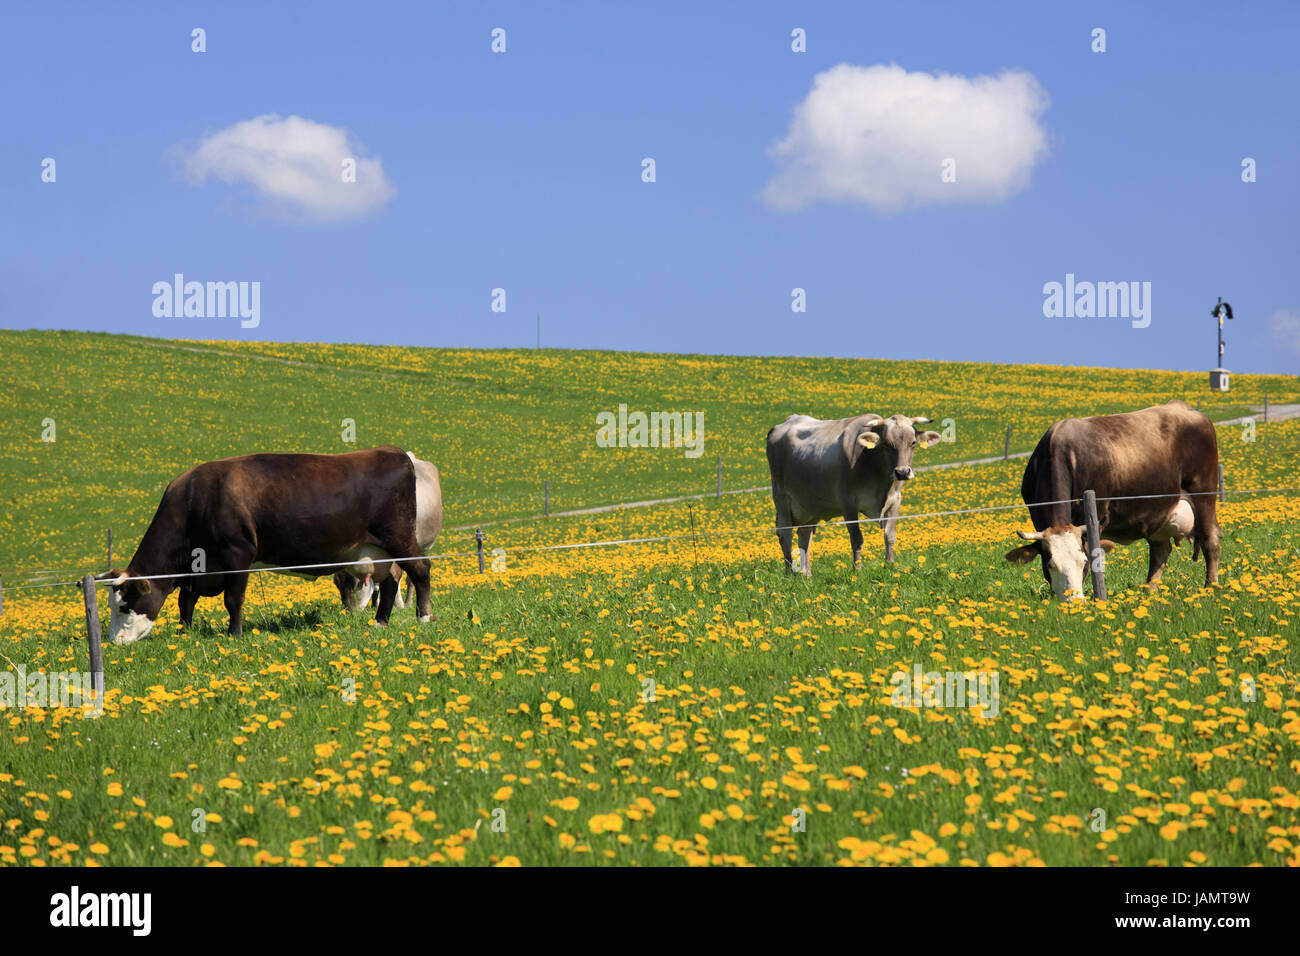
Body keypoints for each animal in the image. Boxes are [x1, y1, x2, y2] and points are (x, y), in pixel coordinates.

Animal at [102, 447, 440, 644]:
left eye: (124, 605)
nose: (114, 641)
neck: (195, 500)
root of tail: (396, 453)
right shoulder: (200, 568)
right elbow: (186, 600)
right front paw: (185, 632)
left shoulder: (237, 553)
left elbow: (233, 599)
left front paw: (234, 634)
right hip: (380, 551)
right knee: (391, 581)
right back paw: (380, 622)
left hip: (399, 537)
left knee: (420, 568)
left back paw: (424, 617)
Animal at [766, 413, 942, 574]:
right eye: (886, 444)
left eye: (913, 443)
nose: (902, 472)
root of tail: (787, 421)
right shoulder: (848, 503)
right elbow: (857, 538)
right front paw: (857, 569)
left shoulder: (895, 500)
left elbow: (890, 536)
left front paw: (890, 565)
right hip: (781, 498)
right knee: (785, 534)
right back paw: (789, 573)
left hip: (808, 506)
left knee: (804, 535)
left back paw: (806, 575)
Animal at [1004, 401, 1221, 600]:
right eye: (1050, 564)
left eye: (1083, 562)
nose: (1075, 601)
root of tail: (1185, 407)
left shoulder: (1097, 514)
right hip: (1160, 510)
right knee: (1160, 550)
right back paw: (1149, 594)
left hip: (1204, 494)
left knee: (1210, 540)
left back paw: (1210, 587)